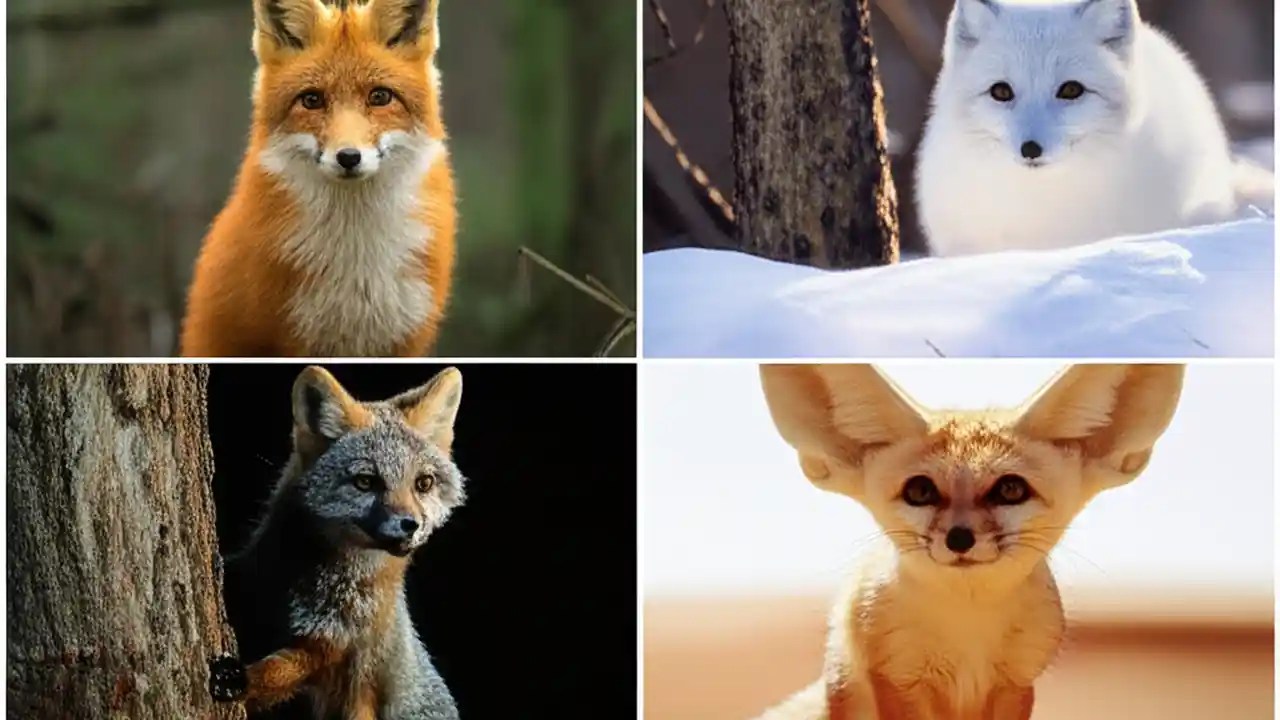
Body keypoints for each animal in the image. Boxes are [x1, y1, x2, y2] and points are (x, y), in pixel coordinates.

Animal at [181, 0, 456, 357]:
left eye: (380, 97)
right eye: (312, 100)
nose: (348, 157)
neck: (358, 263)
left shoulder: (404, 339)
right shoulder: (286, 338)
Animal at [209, 365, 465, 719]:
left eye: (423, 484)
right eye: (366, 482)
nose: (411, 525)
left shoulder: (332, 647)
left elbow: (278, 672)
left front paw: (242, 680)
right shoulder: (252, 581)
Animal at [755, 363, 1185, 720]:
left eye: (1010, 489)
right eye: (920, 491)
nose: (959, 538)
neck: (968, 632)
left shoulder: (1014, 682)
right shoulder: (900, 680)